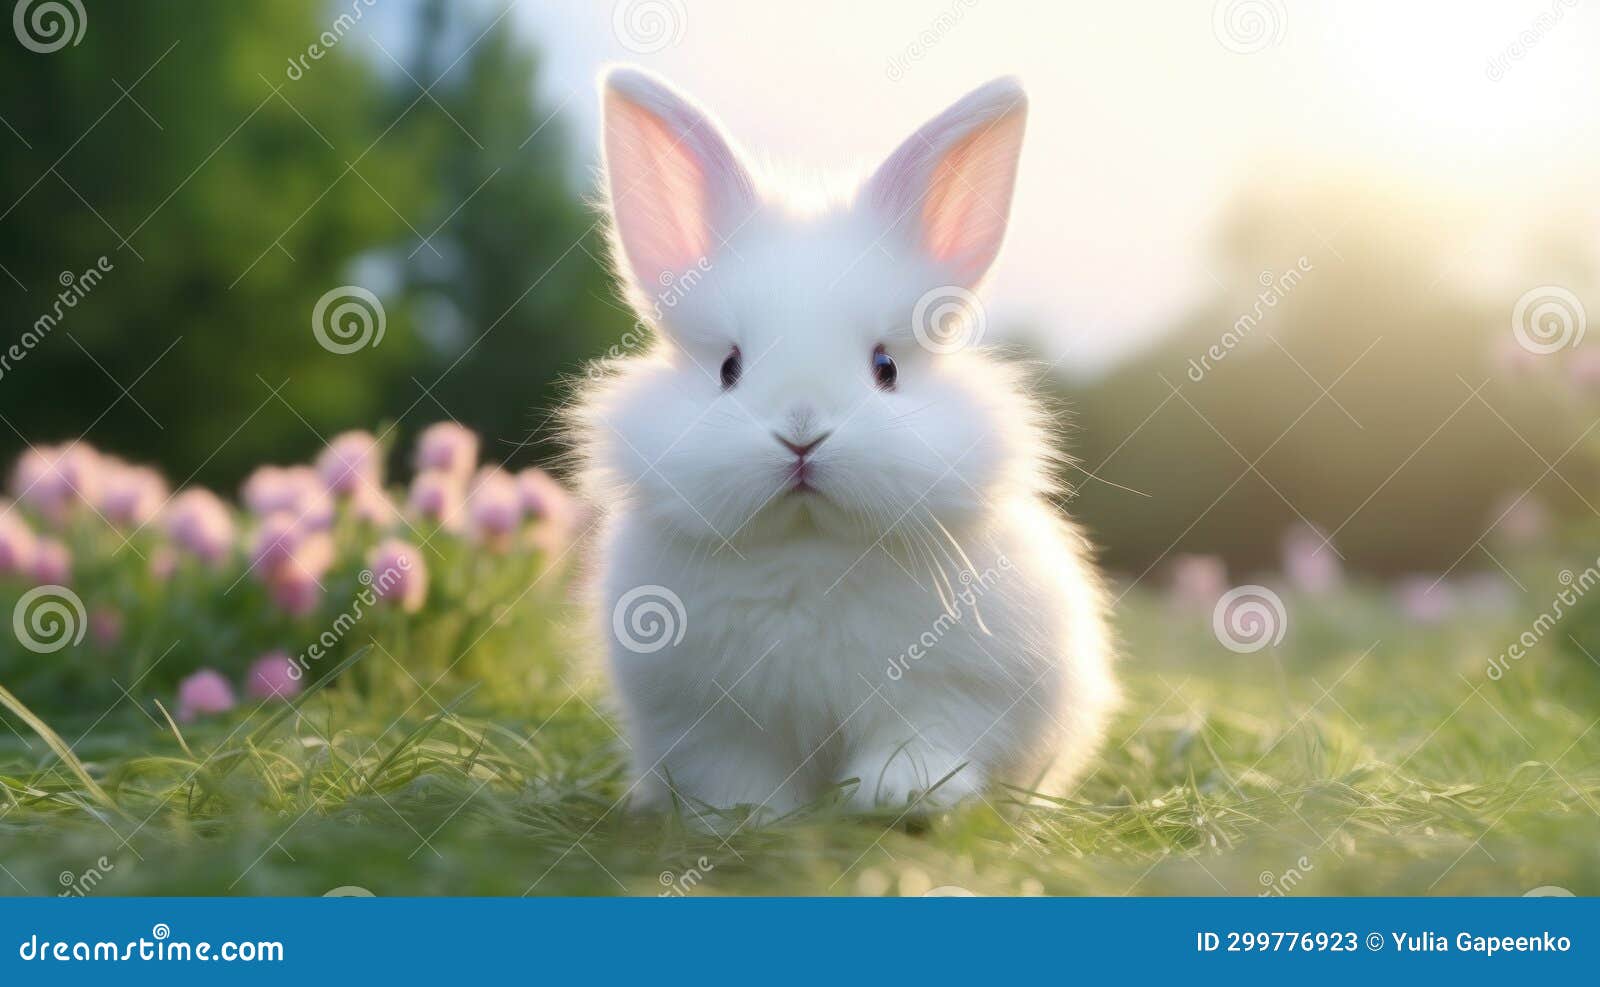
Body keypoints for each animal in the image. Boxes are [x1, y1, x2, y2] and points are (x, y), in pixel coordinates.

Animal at [570, 66, 1116, 817]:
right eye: (729, 367)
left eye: (885, 367)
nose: (802, 433)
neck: (812, 546)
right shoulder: (712, 722)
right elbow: (739, 771)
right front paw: (747, 818)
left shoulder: (952, 697)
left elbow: (922, 743)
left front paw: (900, 797)